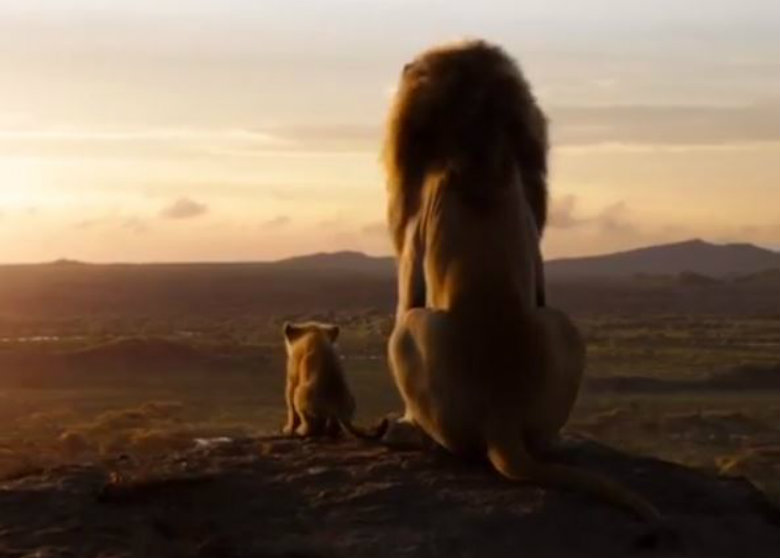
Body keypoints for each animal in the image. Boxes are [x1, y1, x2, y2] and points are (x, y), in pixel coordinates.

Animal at [382, 40, 660, 520]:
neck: (479, 139)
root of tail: (502, 420)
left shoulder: (415, 230)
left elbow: (406, 292)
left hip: (411, 334)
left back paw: (412, 435)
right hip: (563, 326)